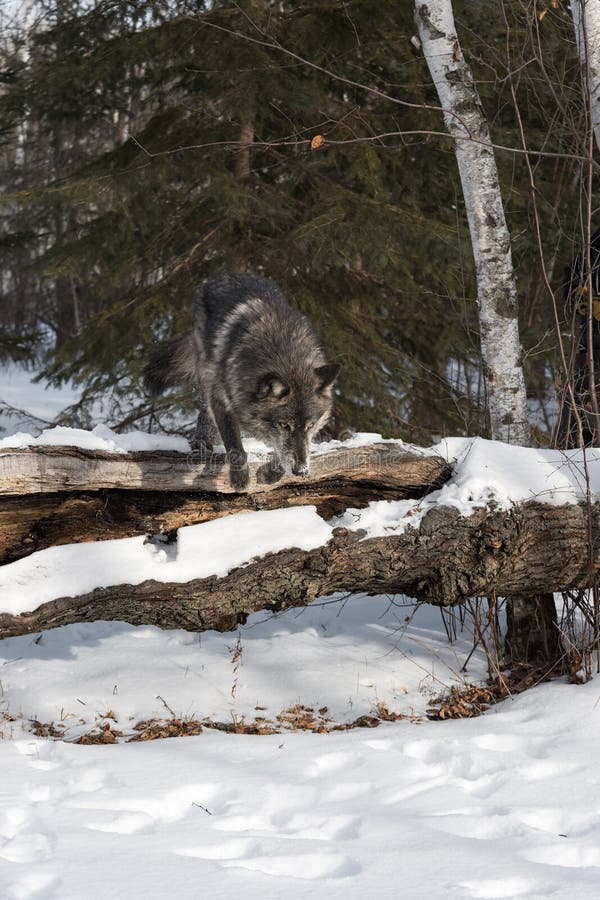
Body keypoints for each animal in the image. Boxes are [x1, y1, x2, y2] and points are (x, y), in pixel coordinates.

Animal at [142, 272, 340, 491]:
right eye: (284, 425)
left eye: (310, 425)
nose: (301, 471)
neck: (286, 357)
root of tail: (225, 274)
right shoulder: (221, 401)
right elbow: (234, 443)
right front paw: (240, 477)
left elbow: (286, 451)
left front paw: (271, 474)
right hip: (205, 370)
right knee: (205, 408)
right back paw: (202, 440)